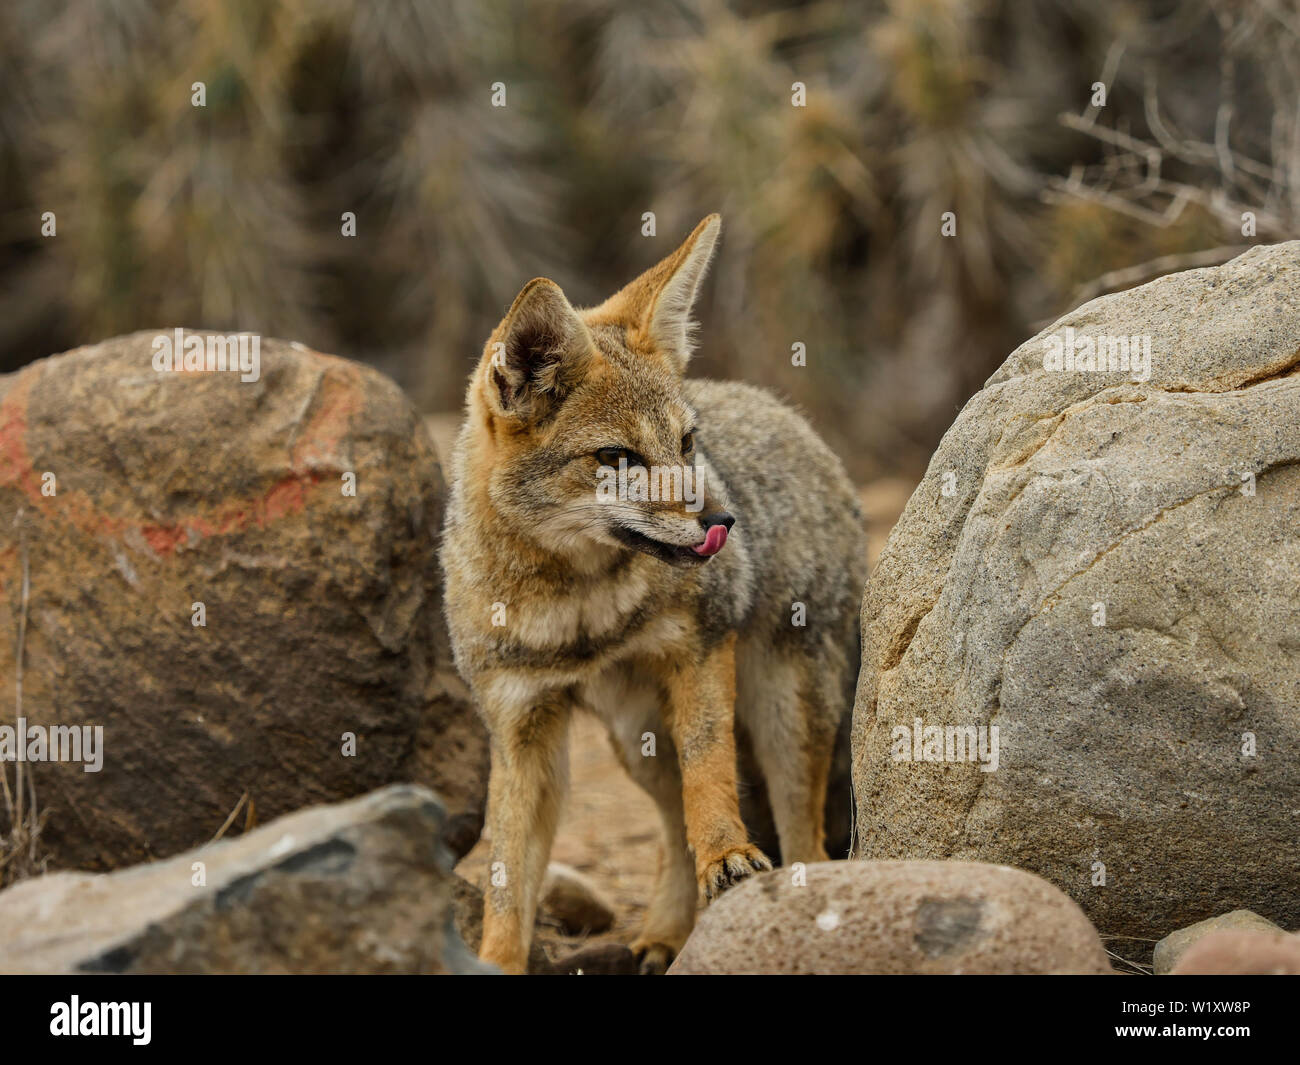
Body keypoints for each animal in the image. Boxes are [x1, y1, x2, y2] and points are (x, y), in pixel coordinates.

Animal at [440, 215, 865, 974]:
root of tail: (782, 408)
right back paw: (667, 931)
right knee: (668, 831)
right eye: (617, 459)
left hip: (783, 710)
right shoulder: (521, 726)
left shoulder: (700, 647)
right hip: (635, 741)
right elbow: (508, 876)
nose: (723, 519)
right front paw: (496, 957)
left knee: (803, 837)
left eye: (686, 444)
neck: (580, 610)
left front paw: (727, 852)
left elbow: (709, 768)